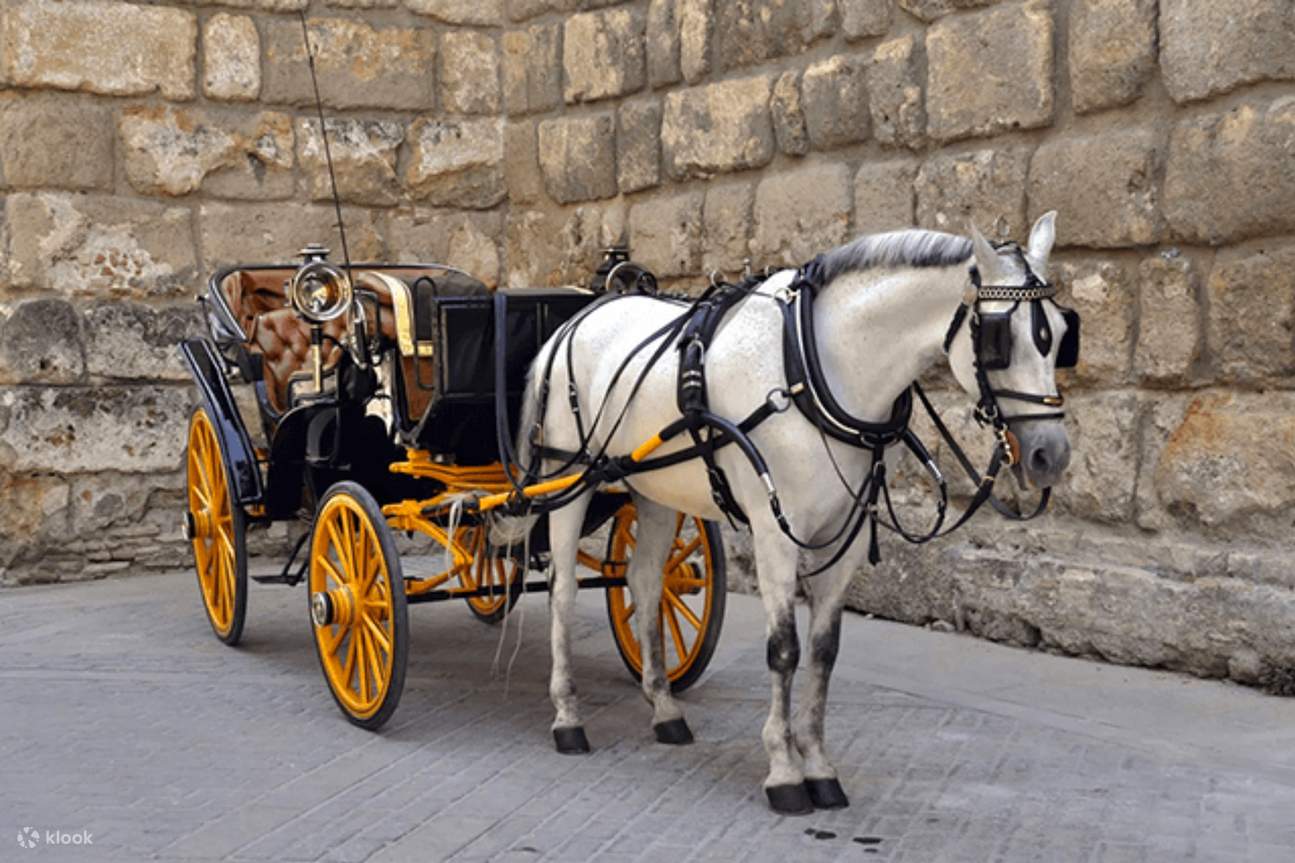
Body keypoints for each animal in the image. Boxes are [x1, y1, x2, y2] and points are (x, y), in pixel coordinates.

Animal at [507, 212, 1073, 814]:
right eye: (999, 339)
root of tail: (576, 320)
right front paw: (783, 769)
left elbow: (823, 652)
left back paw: (664, 708)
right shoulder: (774, 532)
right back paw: (567, 716)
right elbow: (783, 649)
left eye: (1064, 334)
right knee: (564, 591)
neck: (812, 368)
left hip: (654, 487)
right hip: (567, 477)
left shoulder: (847, 537)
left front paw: (818, 764)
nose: (1051, 455)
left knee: (643, 582)